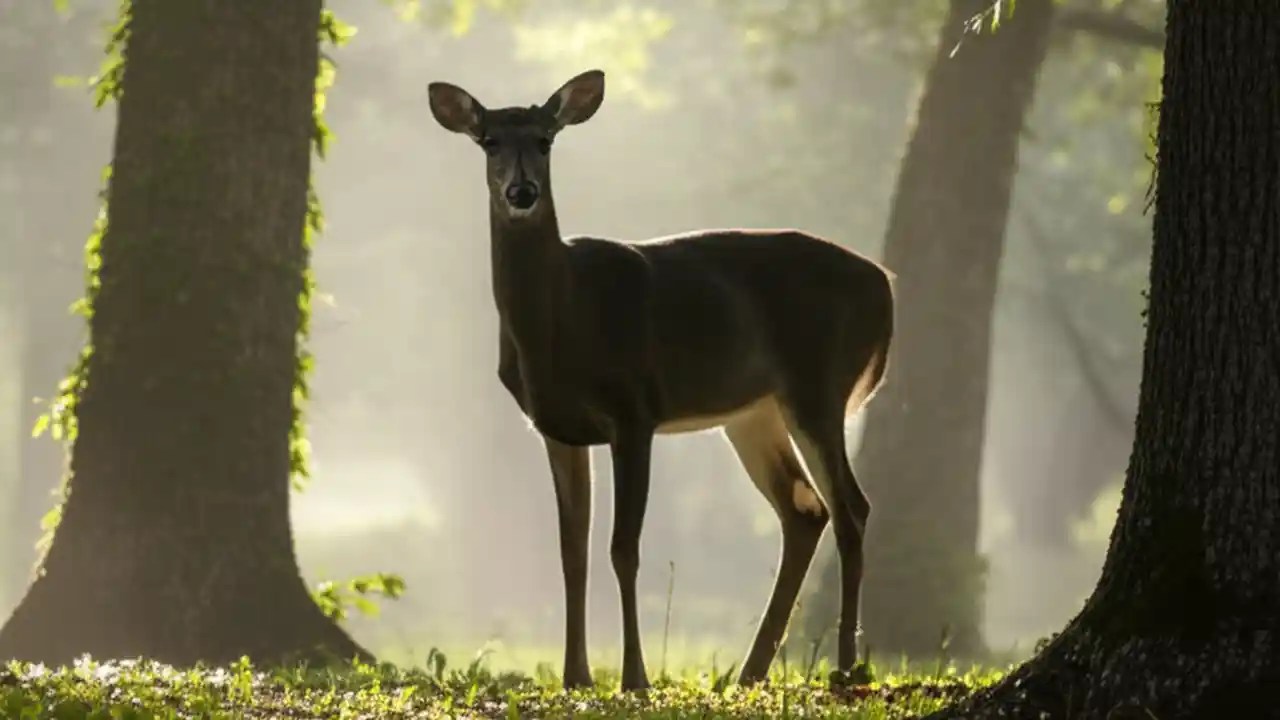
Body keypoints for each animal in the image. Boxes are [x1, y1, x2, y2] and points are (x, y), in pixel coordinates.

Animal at [427, 69, 894, 692]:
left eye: (546, 140)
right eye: (489, 141)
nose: (521, 192)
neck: (561, 323)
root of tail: (886, 285)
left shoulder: (634, 408)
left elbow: (623, 547)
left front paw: (634, 677)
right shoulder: (556, 427)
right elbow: (571, 551)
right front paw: (577, 676)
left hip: (818, 381)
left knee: (851, 508)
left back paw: (844, 667)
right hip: (754, 412)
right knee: (805, 511)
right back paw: (750, 672)